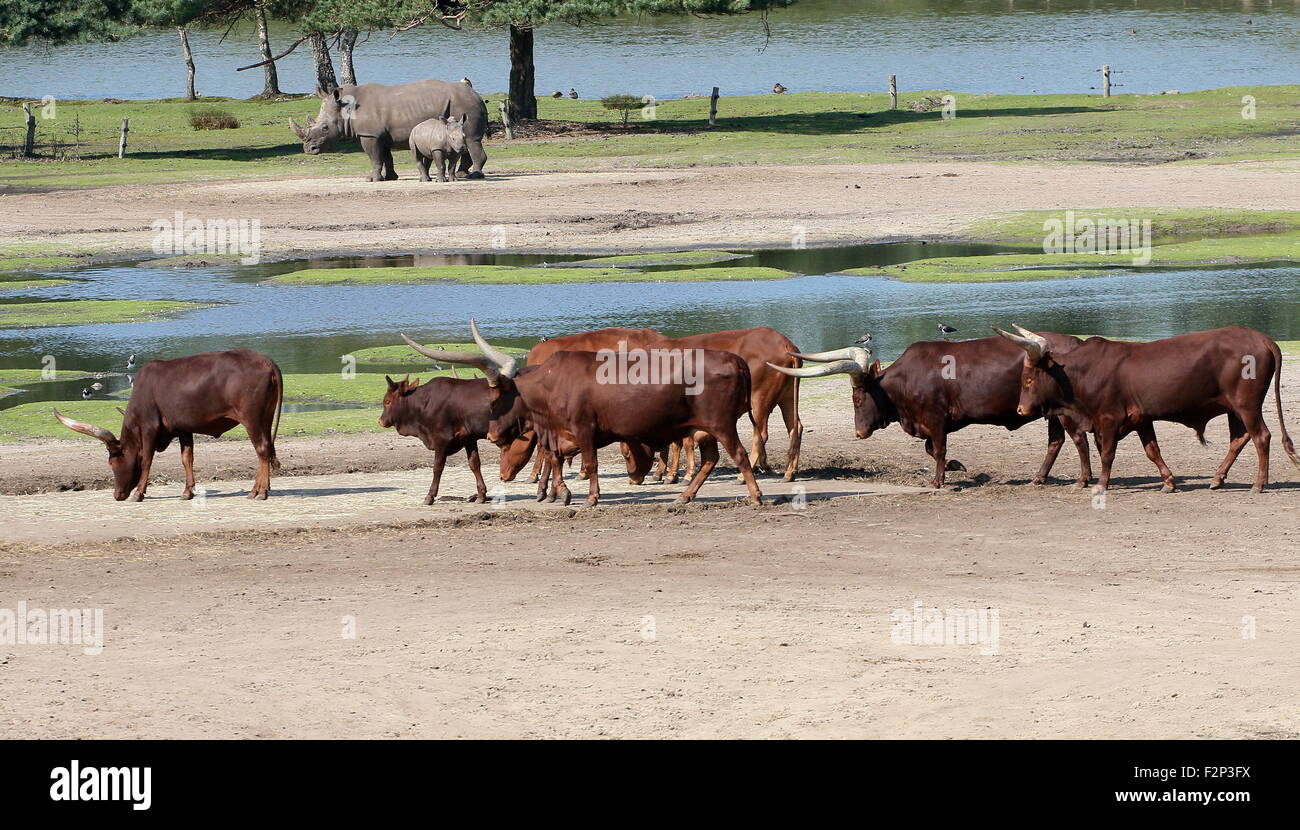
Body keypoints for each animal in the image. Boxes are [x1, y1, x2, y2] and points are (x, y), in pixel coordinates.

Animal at [52, 349, 282, 501]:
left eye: (111, 463)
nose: (117, 495)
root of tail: (267, 361)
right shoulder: (184, 429)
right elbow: (187, 458)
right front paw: (187, 492)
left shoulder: (149, 428)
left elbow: (146, 459)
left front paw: (139, 493)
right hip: (265, 418)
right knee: (267, 449)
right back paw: (259, 488)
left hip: (251, 419)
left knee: (262, 449)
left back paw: (260, 492)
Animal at [404, 321, 763, 506]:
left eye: (497, 398)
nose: (491, 436)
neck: (551, 381)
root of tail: (734, 360)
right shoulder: (559, 433)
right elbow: (555, 459)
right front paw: (561, 493)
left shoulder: (583, 427)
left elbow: (587, 463)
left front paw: (589, 497)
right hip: (706, 429)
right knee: (711, 459)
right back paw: (684, 497)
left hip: (721, 424)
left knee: (739, 455)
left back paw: (756, 496)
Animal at [768, 335, 1093, 489]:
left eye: (857, 399)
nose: (858, 433)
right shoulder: (933, 423)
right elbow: (931, 449)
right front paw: (955, 466)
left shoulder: (936, 418)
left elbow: (937, 449)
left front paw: (938, 480)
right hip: (1052, 413)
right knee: (1056, 442)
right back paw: (1038, 478)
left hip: (1063, 411)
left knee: (1077, 439)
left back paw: (1083, 479)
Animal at [995, 324, 1300, 493]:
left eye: (1029, 379)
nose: (1021, 409)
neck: (1086, 371)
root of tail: (1261, 339)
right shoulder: (1141, 418)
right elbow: (1152, 450)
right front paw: (1168, 482)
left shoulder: (1108, 418)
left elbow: (1107, 454)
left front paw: (1101, 484)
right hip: (1234, 409)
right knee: (1239, 438)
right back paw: (1217, 478)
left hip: (1246, 405)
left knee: (1261, 437)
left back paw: (1259, 484)